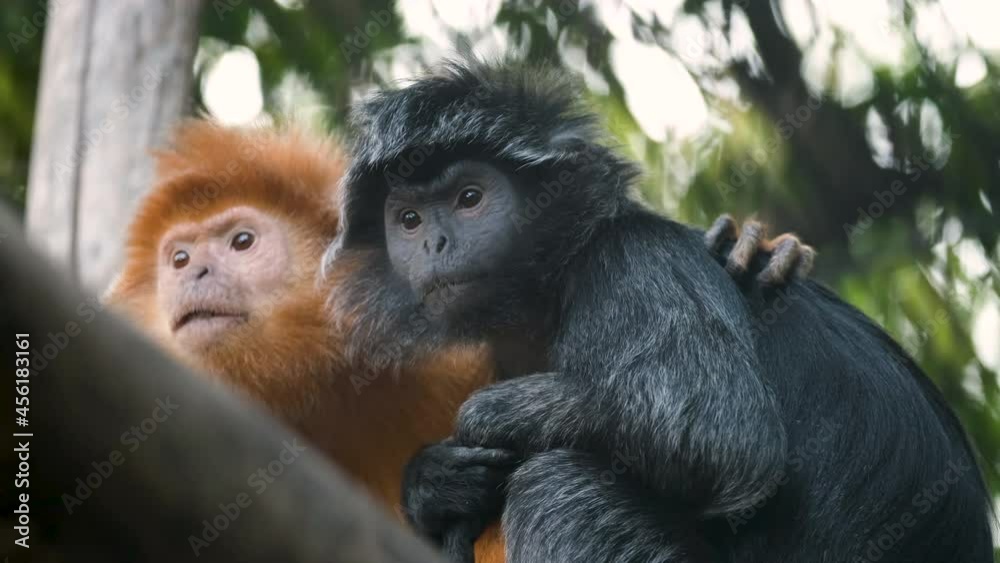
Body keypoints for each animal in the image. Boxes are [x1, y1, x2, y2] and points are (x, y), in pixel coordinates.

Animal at [328, 61, 993, 563]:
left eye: (469, 198)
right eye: (409, 219)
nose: (435, 243)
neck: (561, 272)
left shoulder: (637, 261)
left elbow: (720, 438)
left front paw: (484, 420)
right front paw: (435, 480)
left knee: (560, 488)